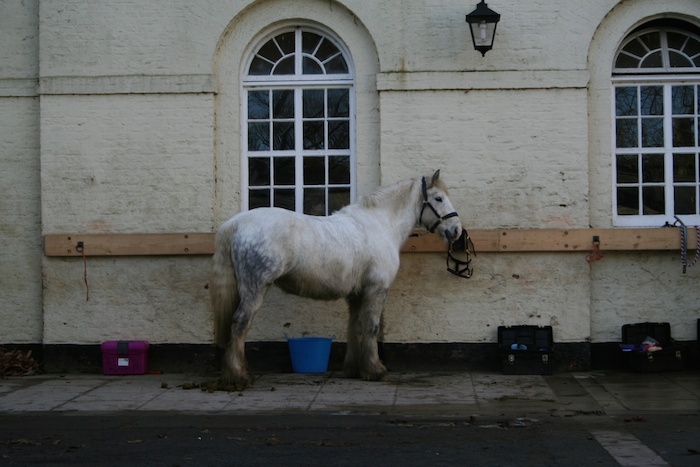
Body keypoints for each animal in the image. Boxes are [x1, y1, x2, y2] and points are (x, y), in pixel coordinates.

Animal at [210, 170, 462, 389]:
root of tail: (236, 223)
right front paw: (375, 369)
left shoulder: (357, 294)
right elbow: (371, 327)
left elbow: (354, 327)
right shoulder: (377, 290)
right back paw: (238, 376)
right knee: (240, 324)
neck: (380, 224)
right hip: (255, 289)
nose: (456, 231)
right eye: (438, 198)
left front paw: (355, 369)